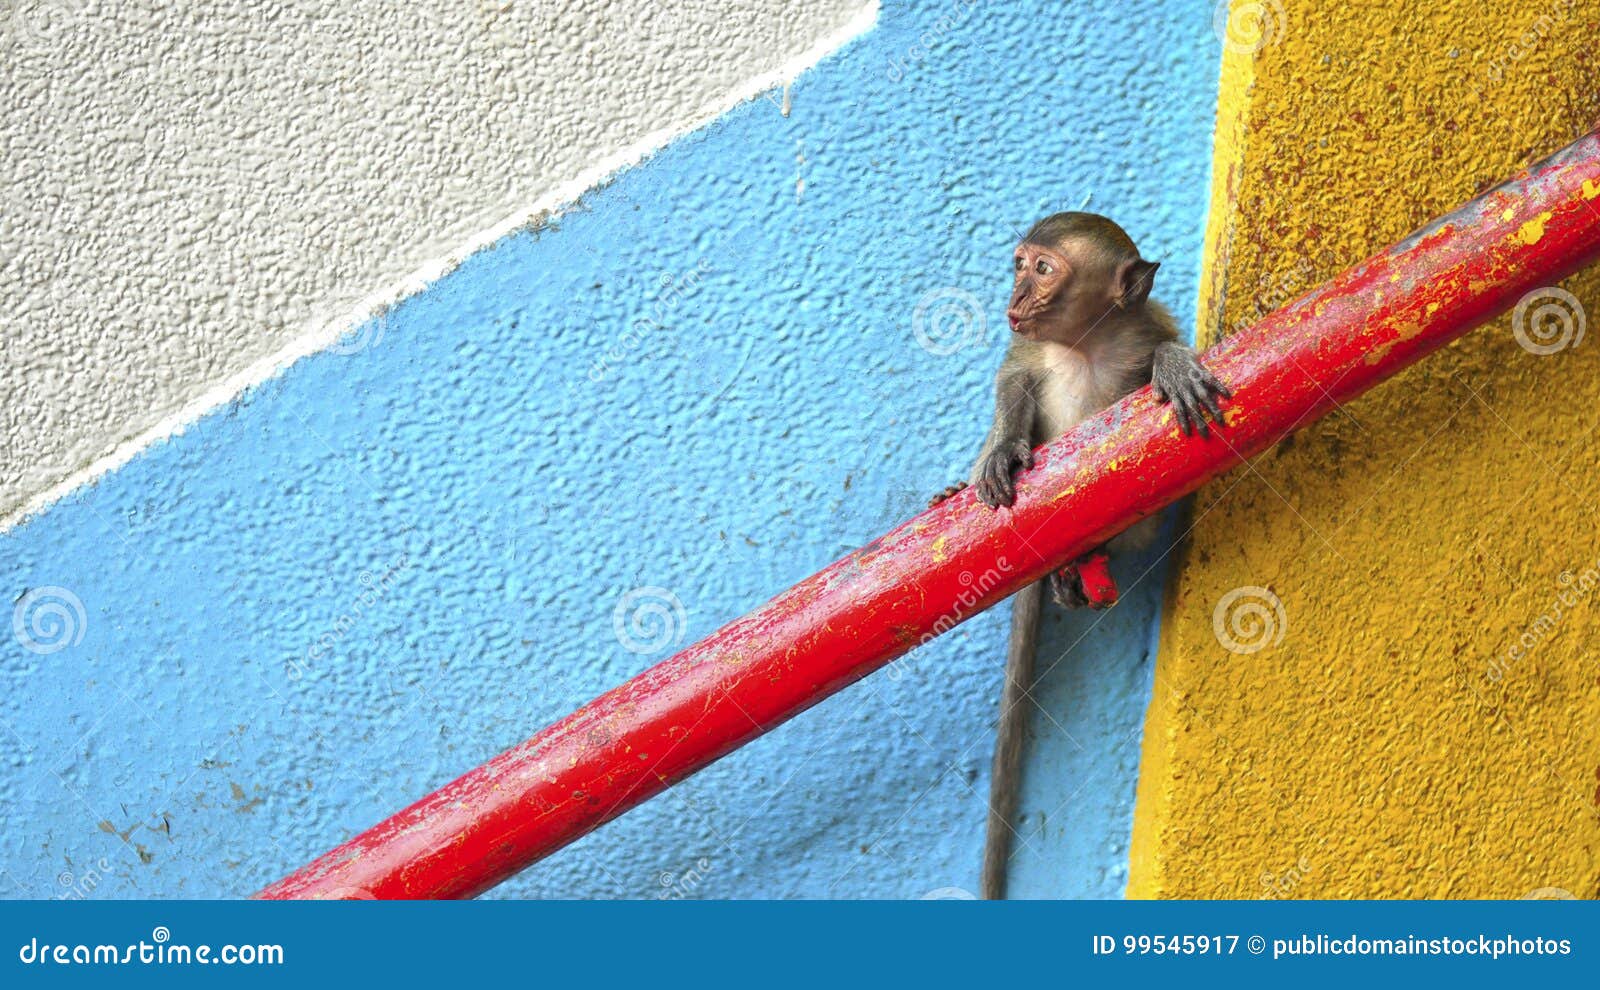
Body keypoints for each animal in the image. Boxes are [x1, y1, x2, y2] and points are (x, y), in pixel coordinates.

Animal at [932, 212, 1230, 899]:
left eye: (1043, 269)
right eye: (1019, 264)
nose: (1015, 297)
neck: (1082, 346)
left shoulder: (1142, 324)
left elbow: (1158, 348)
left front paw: (1172, 365)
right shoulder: (1028, 351)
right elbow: (1012, 383)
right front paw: (1001, 448)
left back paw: (1082, 563)